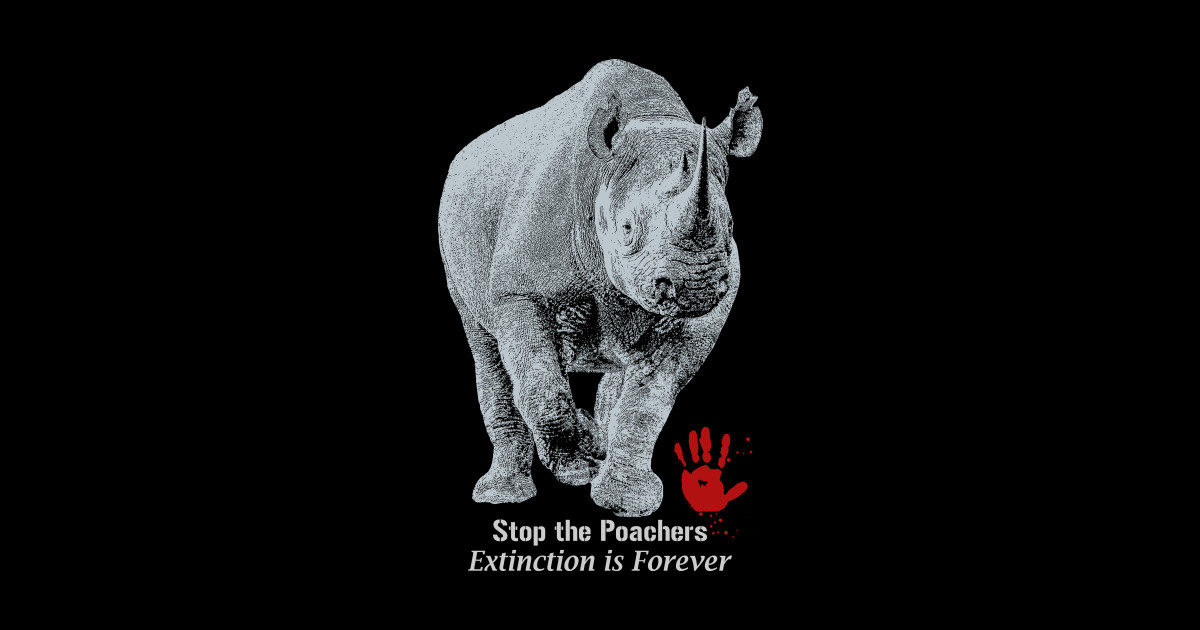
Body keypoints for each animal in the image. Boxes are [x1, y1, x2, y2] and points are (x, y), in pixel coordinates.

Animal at [438, 59, 763, 516]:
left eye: (731, 226)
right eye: (626, 229)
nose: (694, 286)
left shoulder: (708, 313)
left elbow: (649, 400)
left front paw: (625, 500)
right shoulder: (519, 291)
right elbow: (540, 382)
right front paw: (580, 462)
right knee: (487, 348)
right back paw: (502, 494)